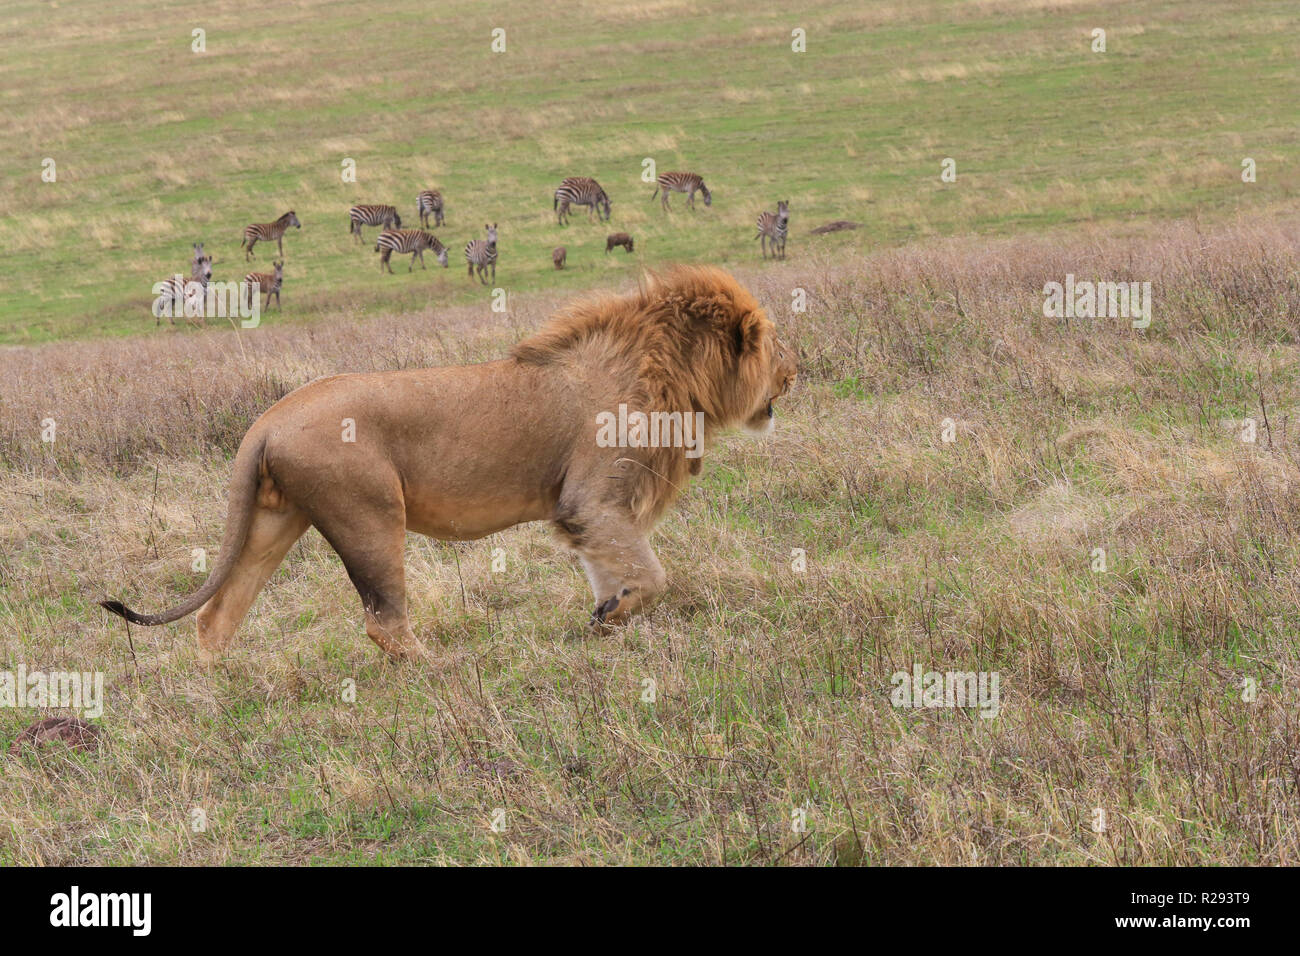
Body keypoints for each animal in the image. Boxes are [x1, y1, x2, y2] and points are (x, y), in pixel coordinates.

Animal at [100, 266, 798, 662]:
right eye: (768, 342)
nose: (795, 373)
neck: (671, 375)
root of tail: (266, 420)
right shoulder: (593, 499)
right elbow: (652, 576)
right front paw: (616, 615)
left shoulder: (590, 514)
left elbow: (613, 572)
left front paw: (605, 619)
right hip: (370, 516)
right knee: (383, 622)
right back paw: (441, 672)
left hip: (276, 520)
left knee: (217, 616)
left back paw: (221, 691)